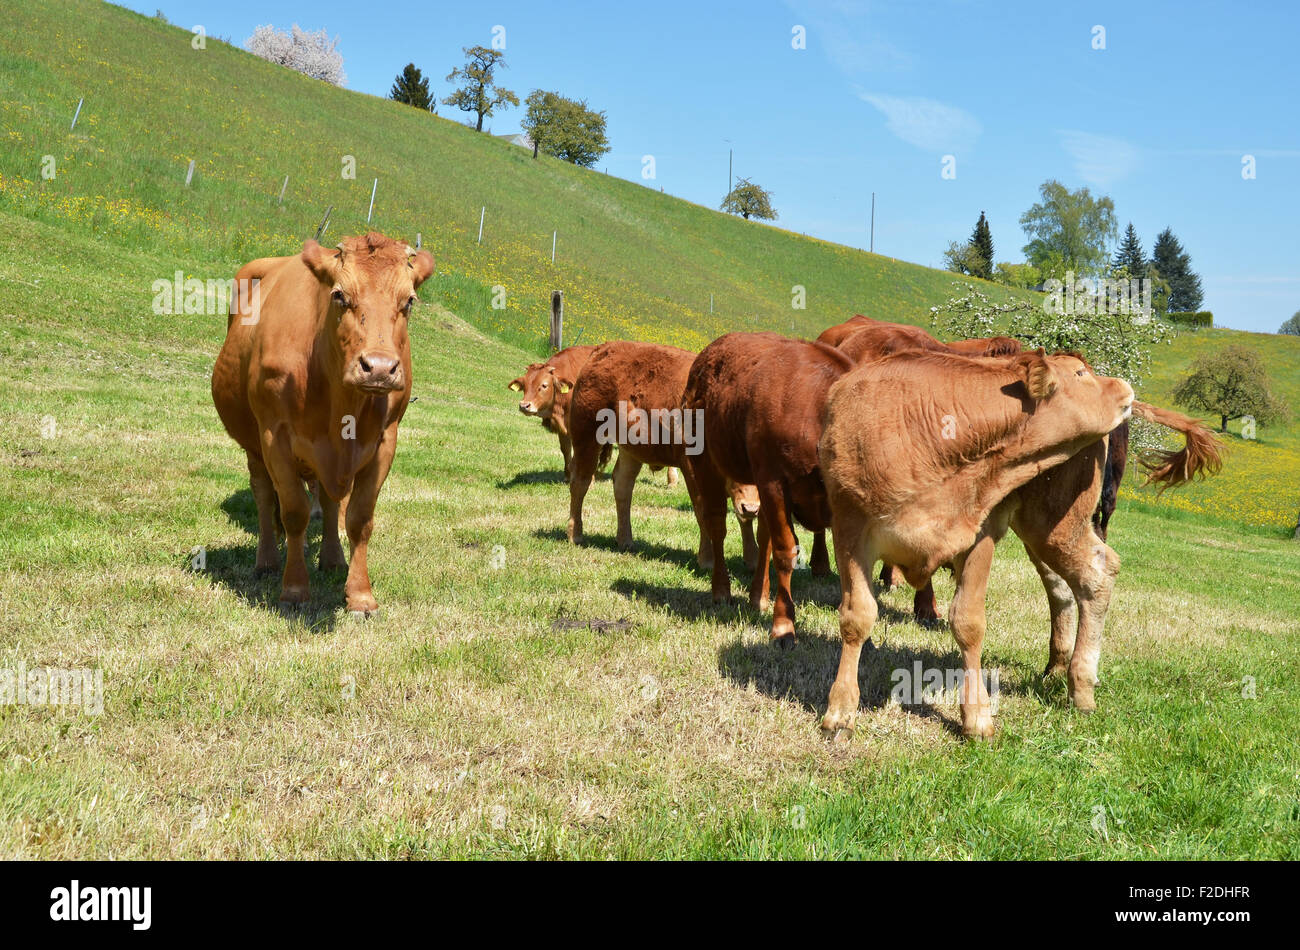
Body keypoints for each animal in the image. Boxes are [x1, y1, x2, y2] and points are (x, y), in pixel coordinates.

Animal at [211, 232, 434, 615]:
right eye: (339, 295)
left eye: (409, 301)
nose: (378, 368)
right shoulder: (275, 437)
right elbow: (294, 512)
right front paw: (294, 590)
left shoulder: (384, 441)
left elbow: (359, 518)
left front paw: (360, 595)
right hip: (253, 445)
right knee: (263, 494)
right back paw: (267, 561)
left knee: (329, 502)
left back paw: (332, 559)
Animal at [565, 340, 759, 569]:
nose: (751, 507)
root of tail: (602, 349)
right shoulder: (693, 471)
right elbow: (704, 512)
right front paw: (707, 560)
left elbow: (742, 518)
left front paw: (752, 559)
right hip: (586, 437)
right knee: (580, 482)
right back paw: (575, 534)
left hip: (631, 450)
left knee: (622, 485)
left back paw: (625, 540)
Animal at [681, 332, 855, 644]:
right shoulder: (774, 484)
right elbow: (785, 552)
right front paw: (783, 627)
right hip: (706, 464)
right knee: (716, 526)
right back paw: (721, 590)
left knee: (763, 539)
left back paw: (757, 596)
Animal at [817, 348, 1221, 739]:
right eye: (1080, 374)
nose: (1122, 386)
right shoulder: (849, 527)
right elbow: (856, 616)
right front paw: (839, 712)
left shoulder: (980, 535)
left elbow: (968, 622)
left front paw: (977, 718)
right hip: (1042, 529)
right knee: (1065, 584)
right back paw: (1059, 668)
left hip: (1059, 521)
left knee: (1096, 573)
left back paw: (1081, 685)